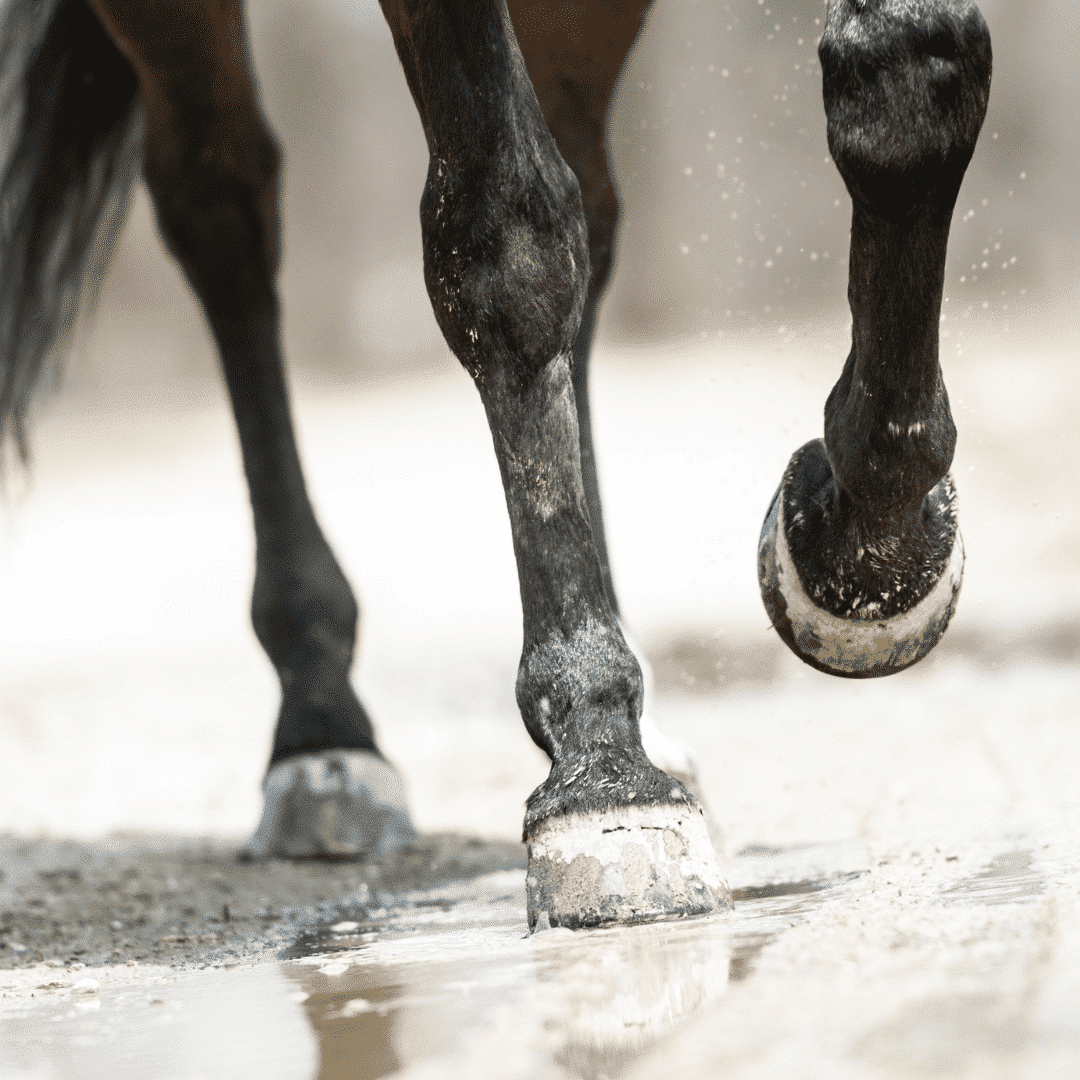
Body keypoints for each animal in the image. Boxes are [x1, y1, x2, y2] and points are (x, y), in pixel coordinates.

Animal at [0, 0, 991, 931]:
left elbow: (908, 71)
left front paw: (865, 559)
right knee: (222, 204)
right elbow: (507, 240)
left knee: (591, 198)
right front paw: (601, 771)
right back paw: (321, 725)